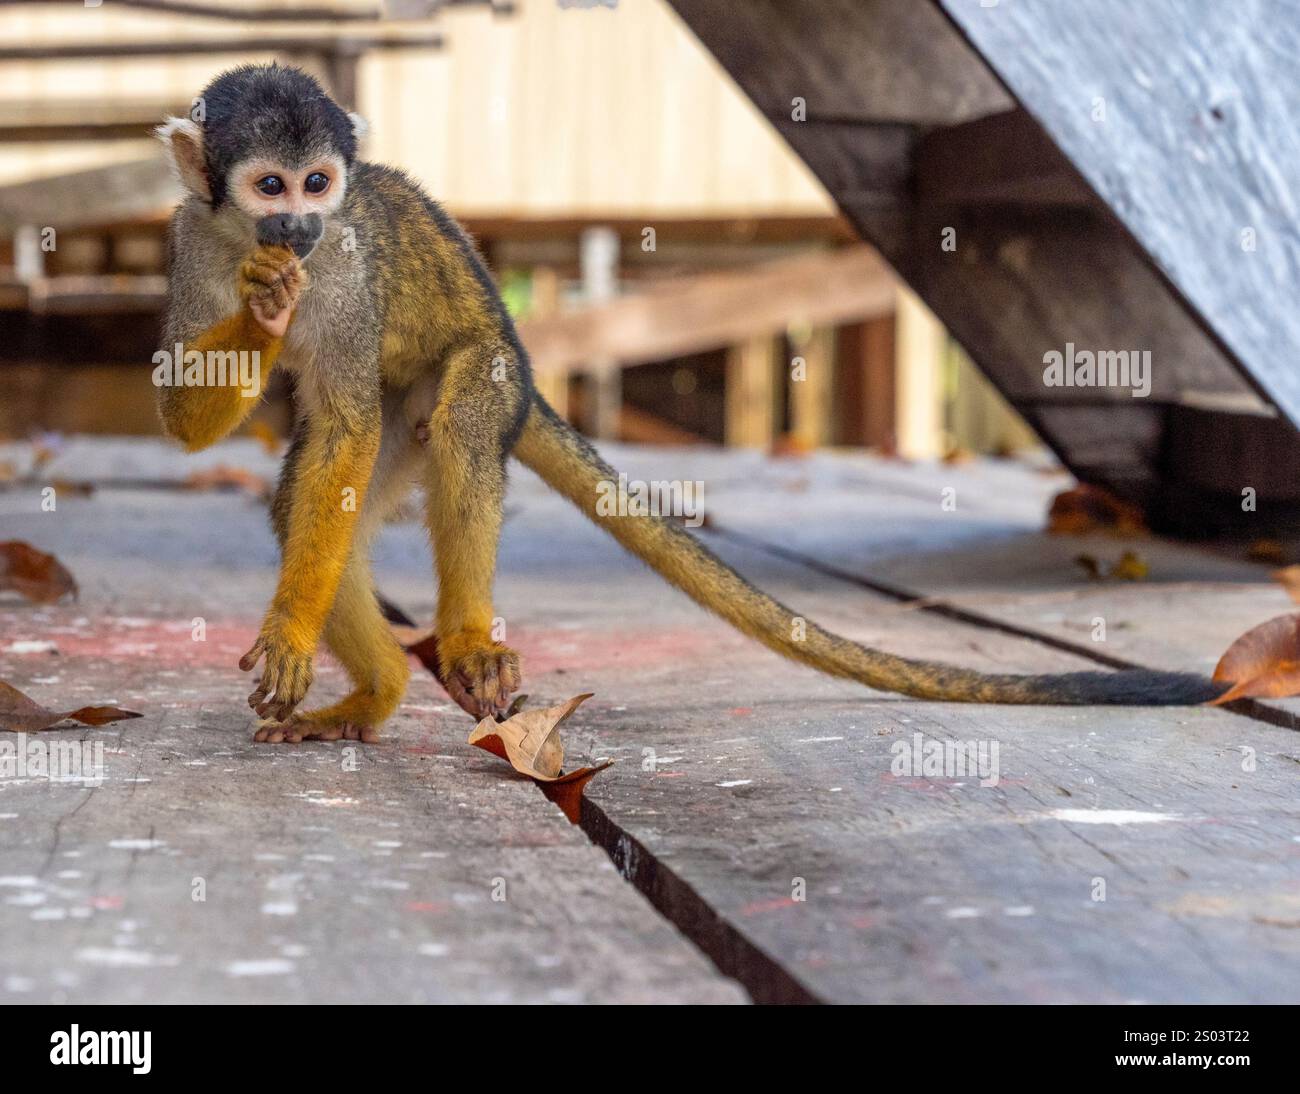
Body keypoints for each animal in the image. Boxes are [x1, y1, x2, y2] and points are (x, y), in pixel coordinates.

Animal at [154, 63, 1225, 744]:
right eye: (270, 186)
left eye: (319, 183)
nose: (297, 228)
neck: (272, 242)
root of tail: (532, 376)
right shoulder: (193, 238)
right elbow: (185, 415)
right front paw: (260, 308)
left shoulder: (344, 267)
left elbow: (341, 425)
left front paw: (291, 638)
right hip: (400, 430)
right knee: (307, 500)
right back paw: (375, 696)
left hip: (475, 375)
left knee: (457, 410)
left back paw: (462, 638)